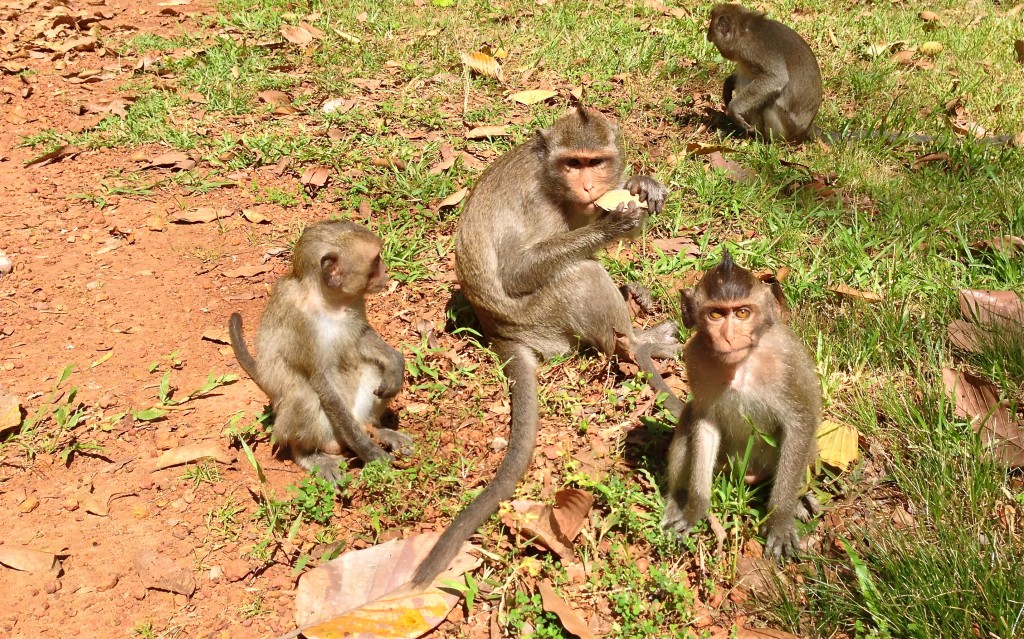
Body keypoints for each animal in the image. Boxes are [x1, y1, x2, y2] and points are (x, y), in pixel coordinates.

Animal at [228, 220, 412, 484]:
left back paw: (377, 429)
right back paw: (309, 453)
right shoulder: (300, 322)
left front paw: (396, 361)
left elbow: (361, 337)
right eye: (376, 260)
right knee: (304, 394)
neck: (328, 302)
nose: (386, 270)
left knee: (374, 368)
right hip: (322, 432)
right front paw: (371, 453)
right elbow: (320, 380)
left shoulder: (354, 302)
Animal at [410, 107, 683, 589]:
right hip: (540, 318)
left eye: (595, 162)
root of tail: (501, 333)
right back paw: (639, 344)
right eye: (572, 164)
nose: (589, 187)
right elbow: (517, 271)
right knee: (580, 274)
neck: (554, 184)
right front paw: (614, 223)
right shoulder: (535, 204)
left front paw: (640, 184)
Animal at [661, 249, 821, 559]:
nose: (729, 336)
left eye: (742, 312)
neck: (741, 364)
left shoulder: (786, 359)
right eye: (715, 314)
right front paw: (695, 508)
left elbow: (801, 422)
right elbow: (704, 422)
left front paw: (779, 518)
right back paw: (678, 499)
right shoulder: (694, 357)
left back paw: (798, 500)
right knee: (688, 416)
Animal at [707, 3, 822, 144]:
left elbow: (776, 79)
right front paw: (728, 84)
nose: (708, 37)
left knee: (768, 104)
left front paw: (733, 109)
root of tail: (807, 129)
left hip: (787, 129)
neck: (743, 30)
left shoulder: (752, 50)